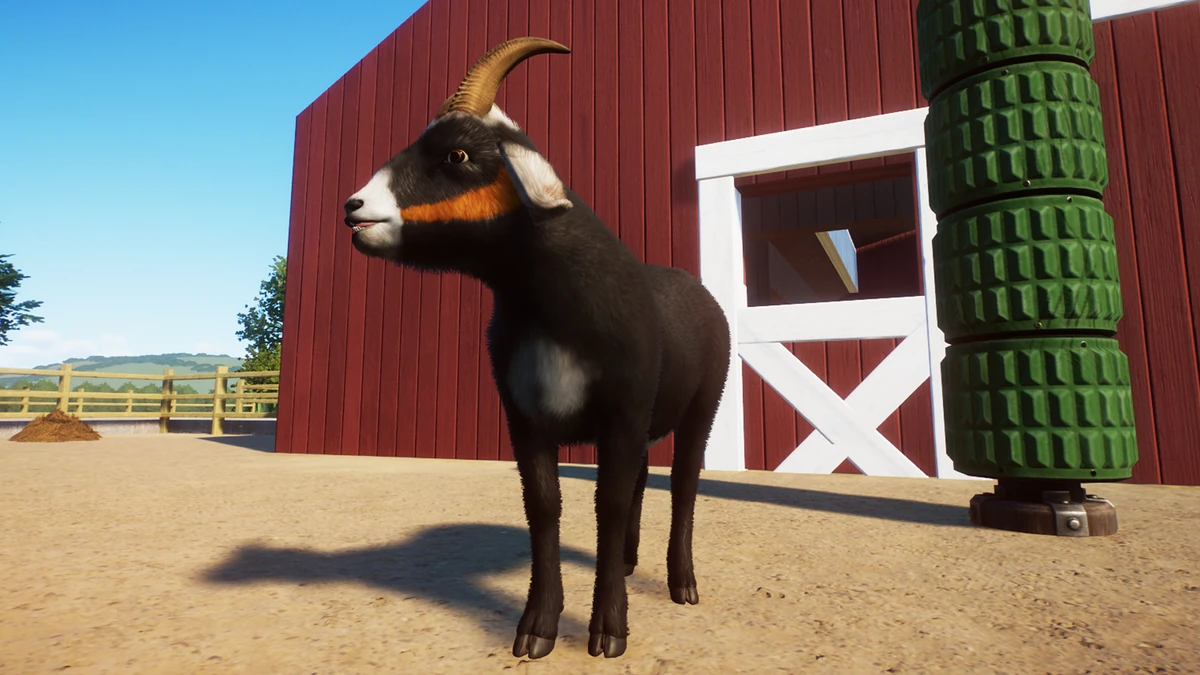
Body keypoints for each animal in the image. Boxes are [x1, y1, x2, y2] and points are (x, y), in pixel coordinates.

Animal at [343, 37, 731, 660]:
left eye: (457, 155)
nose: (354, 207)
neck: (554, 311)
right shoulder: (523, 416)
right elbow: (544, 507)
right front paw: (536, 629)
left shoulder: (622, 414)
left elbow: (607, 503)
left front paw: (609, 631)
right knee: (645, 479)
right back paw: (627, 563)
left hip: (702, 405)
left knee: (685, 482)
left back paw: (681, 584)